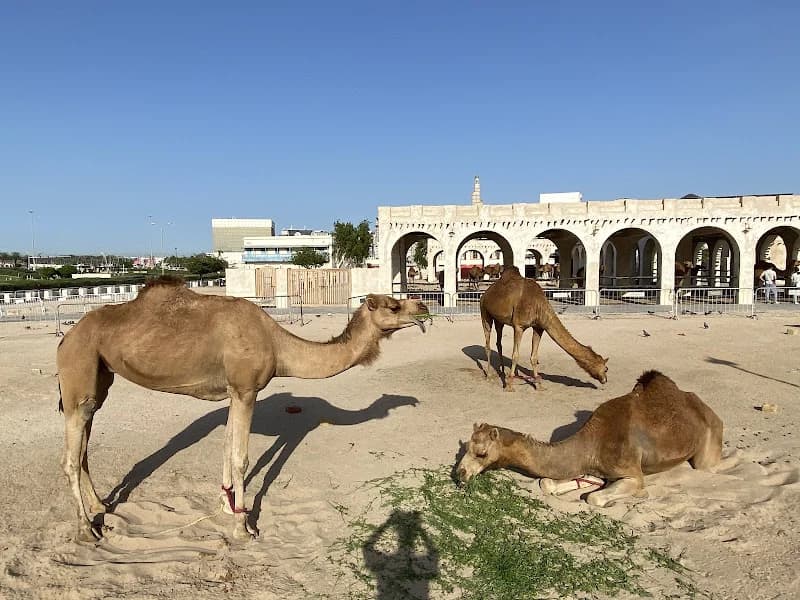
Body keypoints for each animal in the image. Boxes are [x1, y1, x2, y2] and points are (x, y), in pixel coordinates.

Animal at [56, 277, 429, 542]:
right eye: (393, 306)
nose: (423, 308)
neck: (278, 346)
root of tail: (65, 338)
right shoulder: (247, 389)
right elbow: (241, 457)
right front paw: (243, 528)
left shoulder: (234, 392)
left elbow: (226, 448)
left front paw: (226, 503)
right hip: (78, 369)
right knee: (70, 459)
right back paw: (87, 529)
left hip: (100, 378)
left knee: (85, 443)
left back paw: (101, 505)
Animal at [456, 370, 723, 506]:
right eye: (466, 447)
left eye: (481, 453)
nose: (460, 474)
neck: (591, 442)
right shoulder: (591, 466)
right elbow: (549, 483)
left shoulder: (632, 472)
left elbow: (594, 498)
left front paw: (639, 495)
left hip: (710, 436)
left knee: (708, 465)